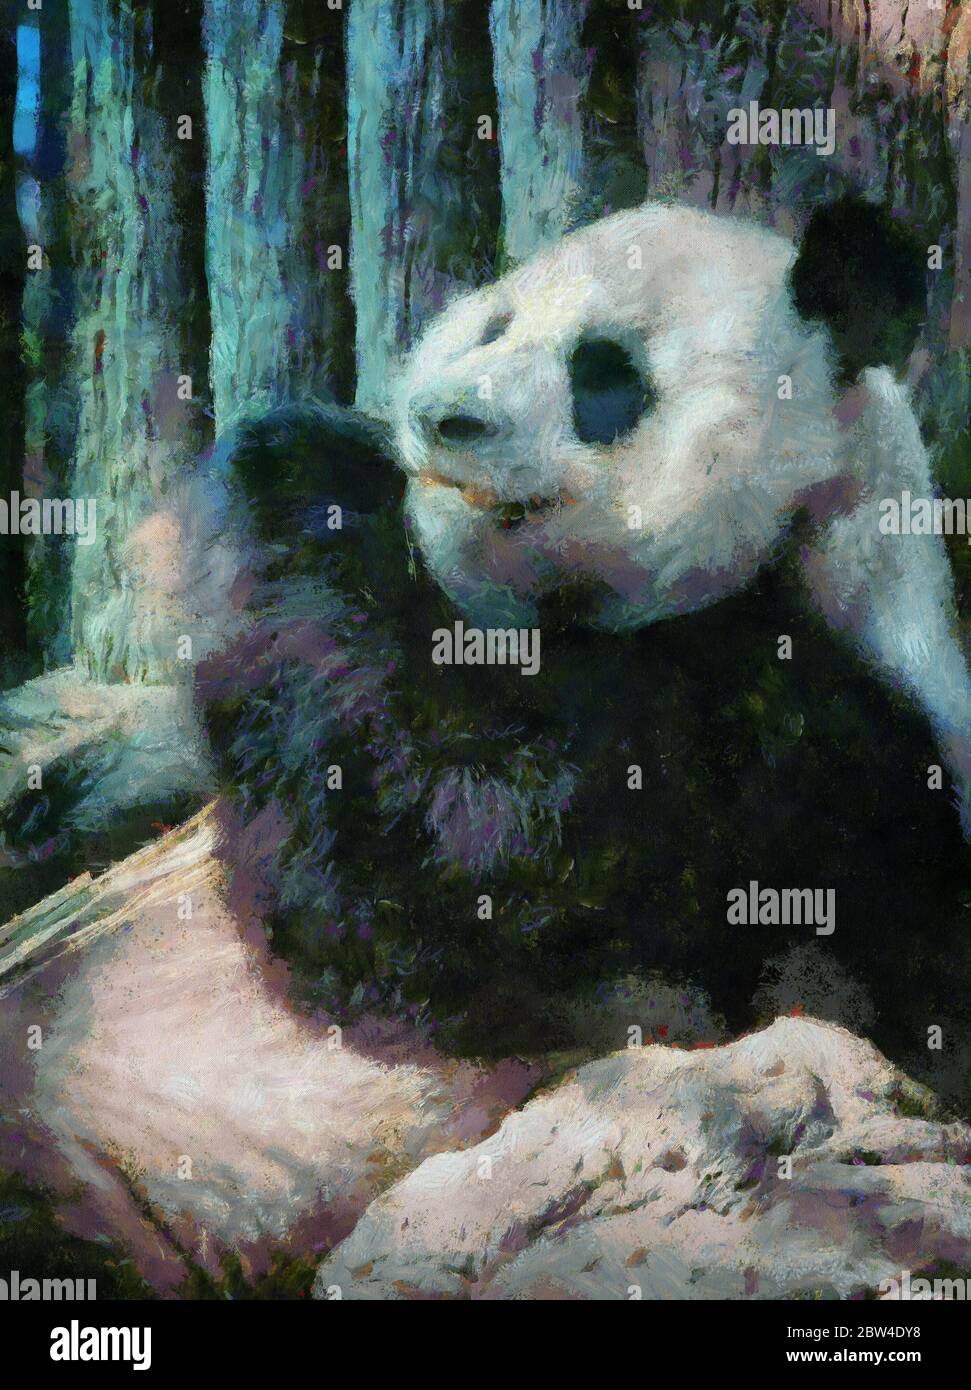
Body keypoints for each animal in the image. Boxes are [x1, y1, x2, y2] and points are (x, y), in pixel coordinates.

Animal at [200, 196, 971, 1105]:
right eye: (494, 327)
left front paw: (301, 477)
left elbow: (456, 865)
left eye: (603, 370)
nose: (446, 418)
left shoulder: (791, 751)